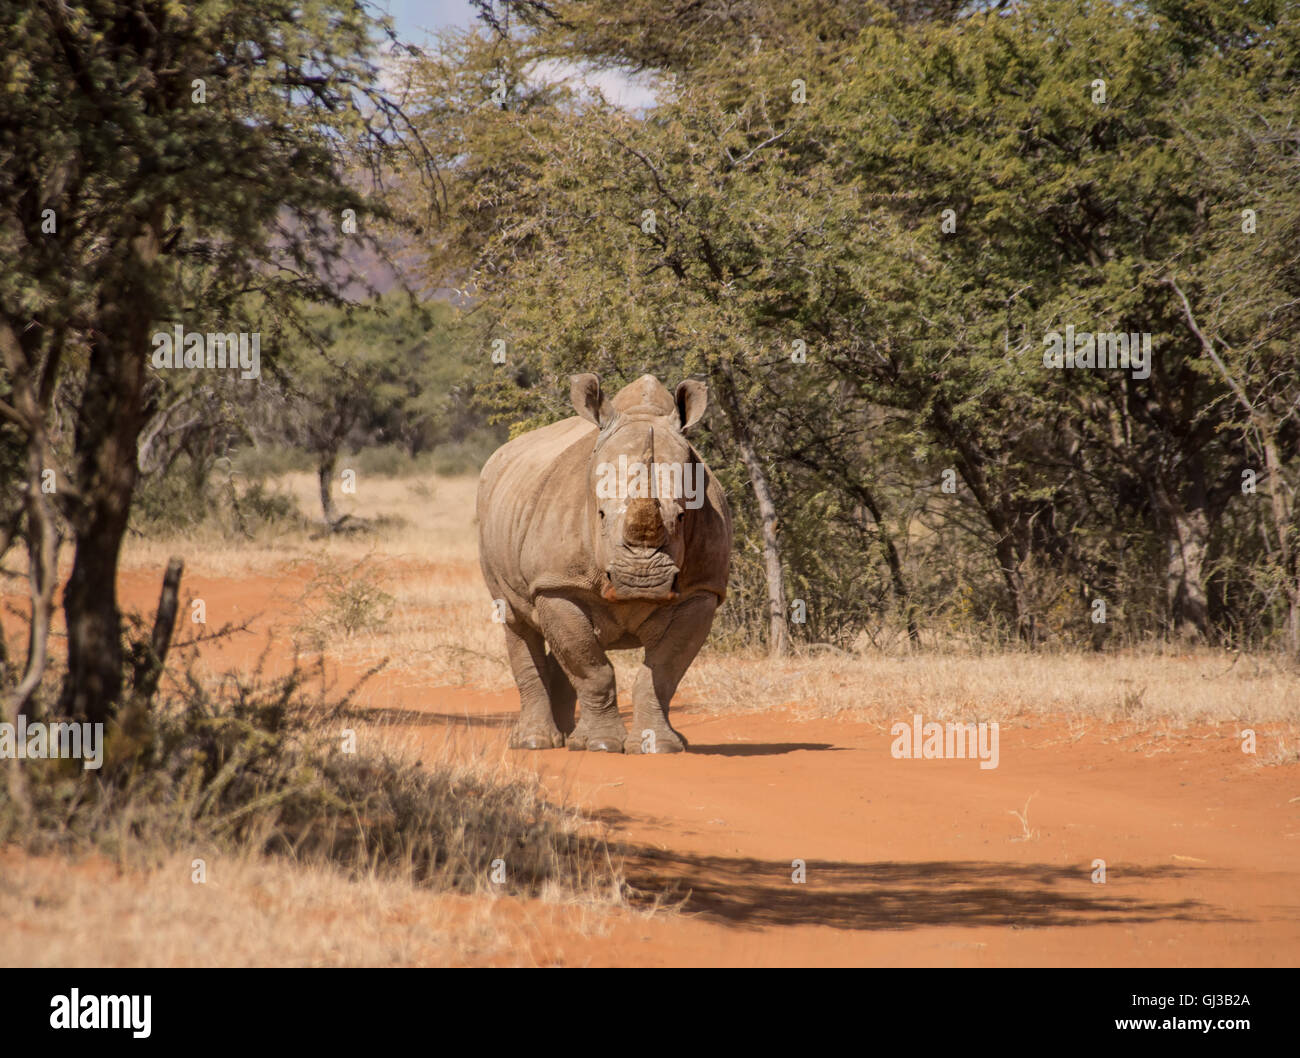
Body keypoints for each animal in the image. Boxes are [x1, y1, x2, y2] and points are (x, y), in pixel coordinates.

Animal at [477, 373, 732, 753]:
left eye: (682, 517)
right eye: (600, 515)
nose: (641, 580)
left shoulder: (701, 590)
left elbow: (662, 672)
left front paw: (660, 746)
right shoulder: (558, 584)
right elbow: (592, 669)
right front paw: (601, 745)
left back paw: (570, 737)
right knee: (517, 621)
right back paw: (537, 742)